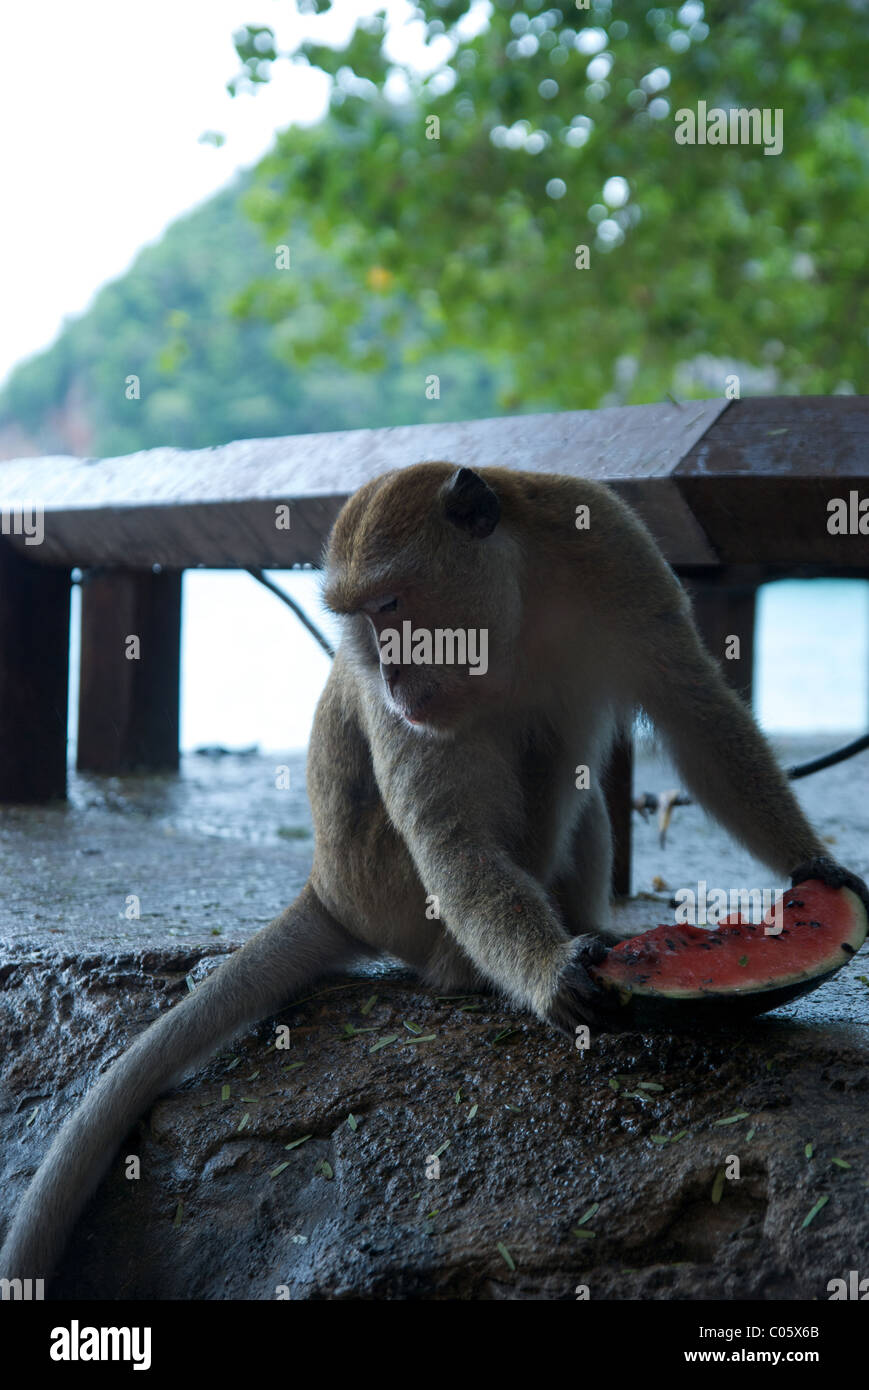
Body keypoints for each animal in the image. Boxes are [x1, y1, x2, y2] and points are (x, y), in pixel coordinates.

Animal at [2, 461, 866, 1289]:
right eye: (357, 620)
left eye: (389, 604)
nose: (388, 671)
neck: (519, 609)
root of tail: (329, 885)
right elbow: (454, 838)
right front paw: (550, 972)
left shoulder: (616, 549)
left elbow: (695, 714)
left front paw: (815, 869)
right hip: (388, 884)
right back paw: (481, 967)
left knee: (570, 774)